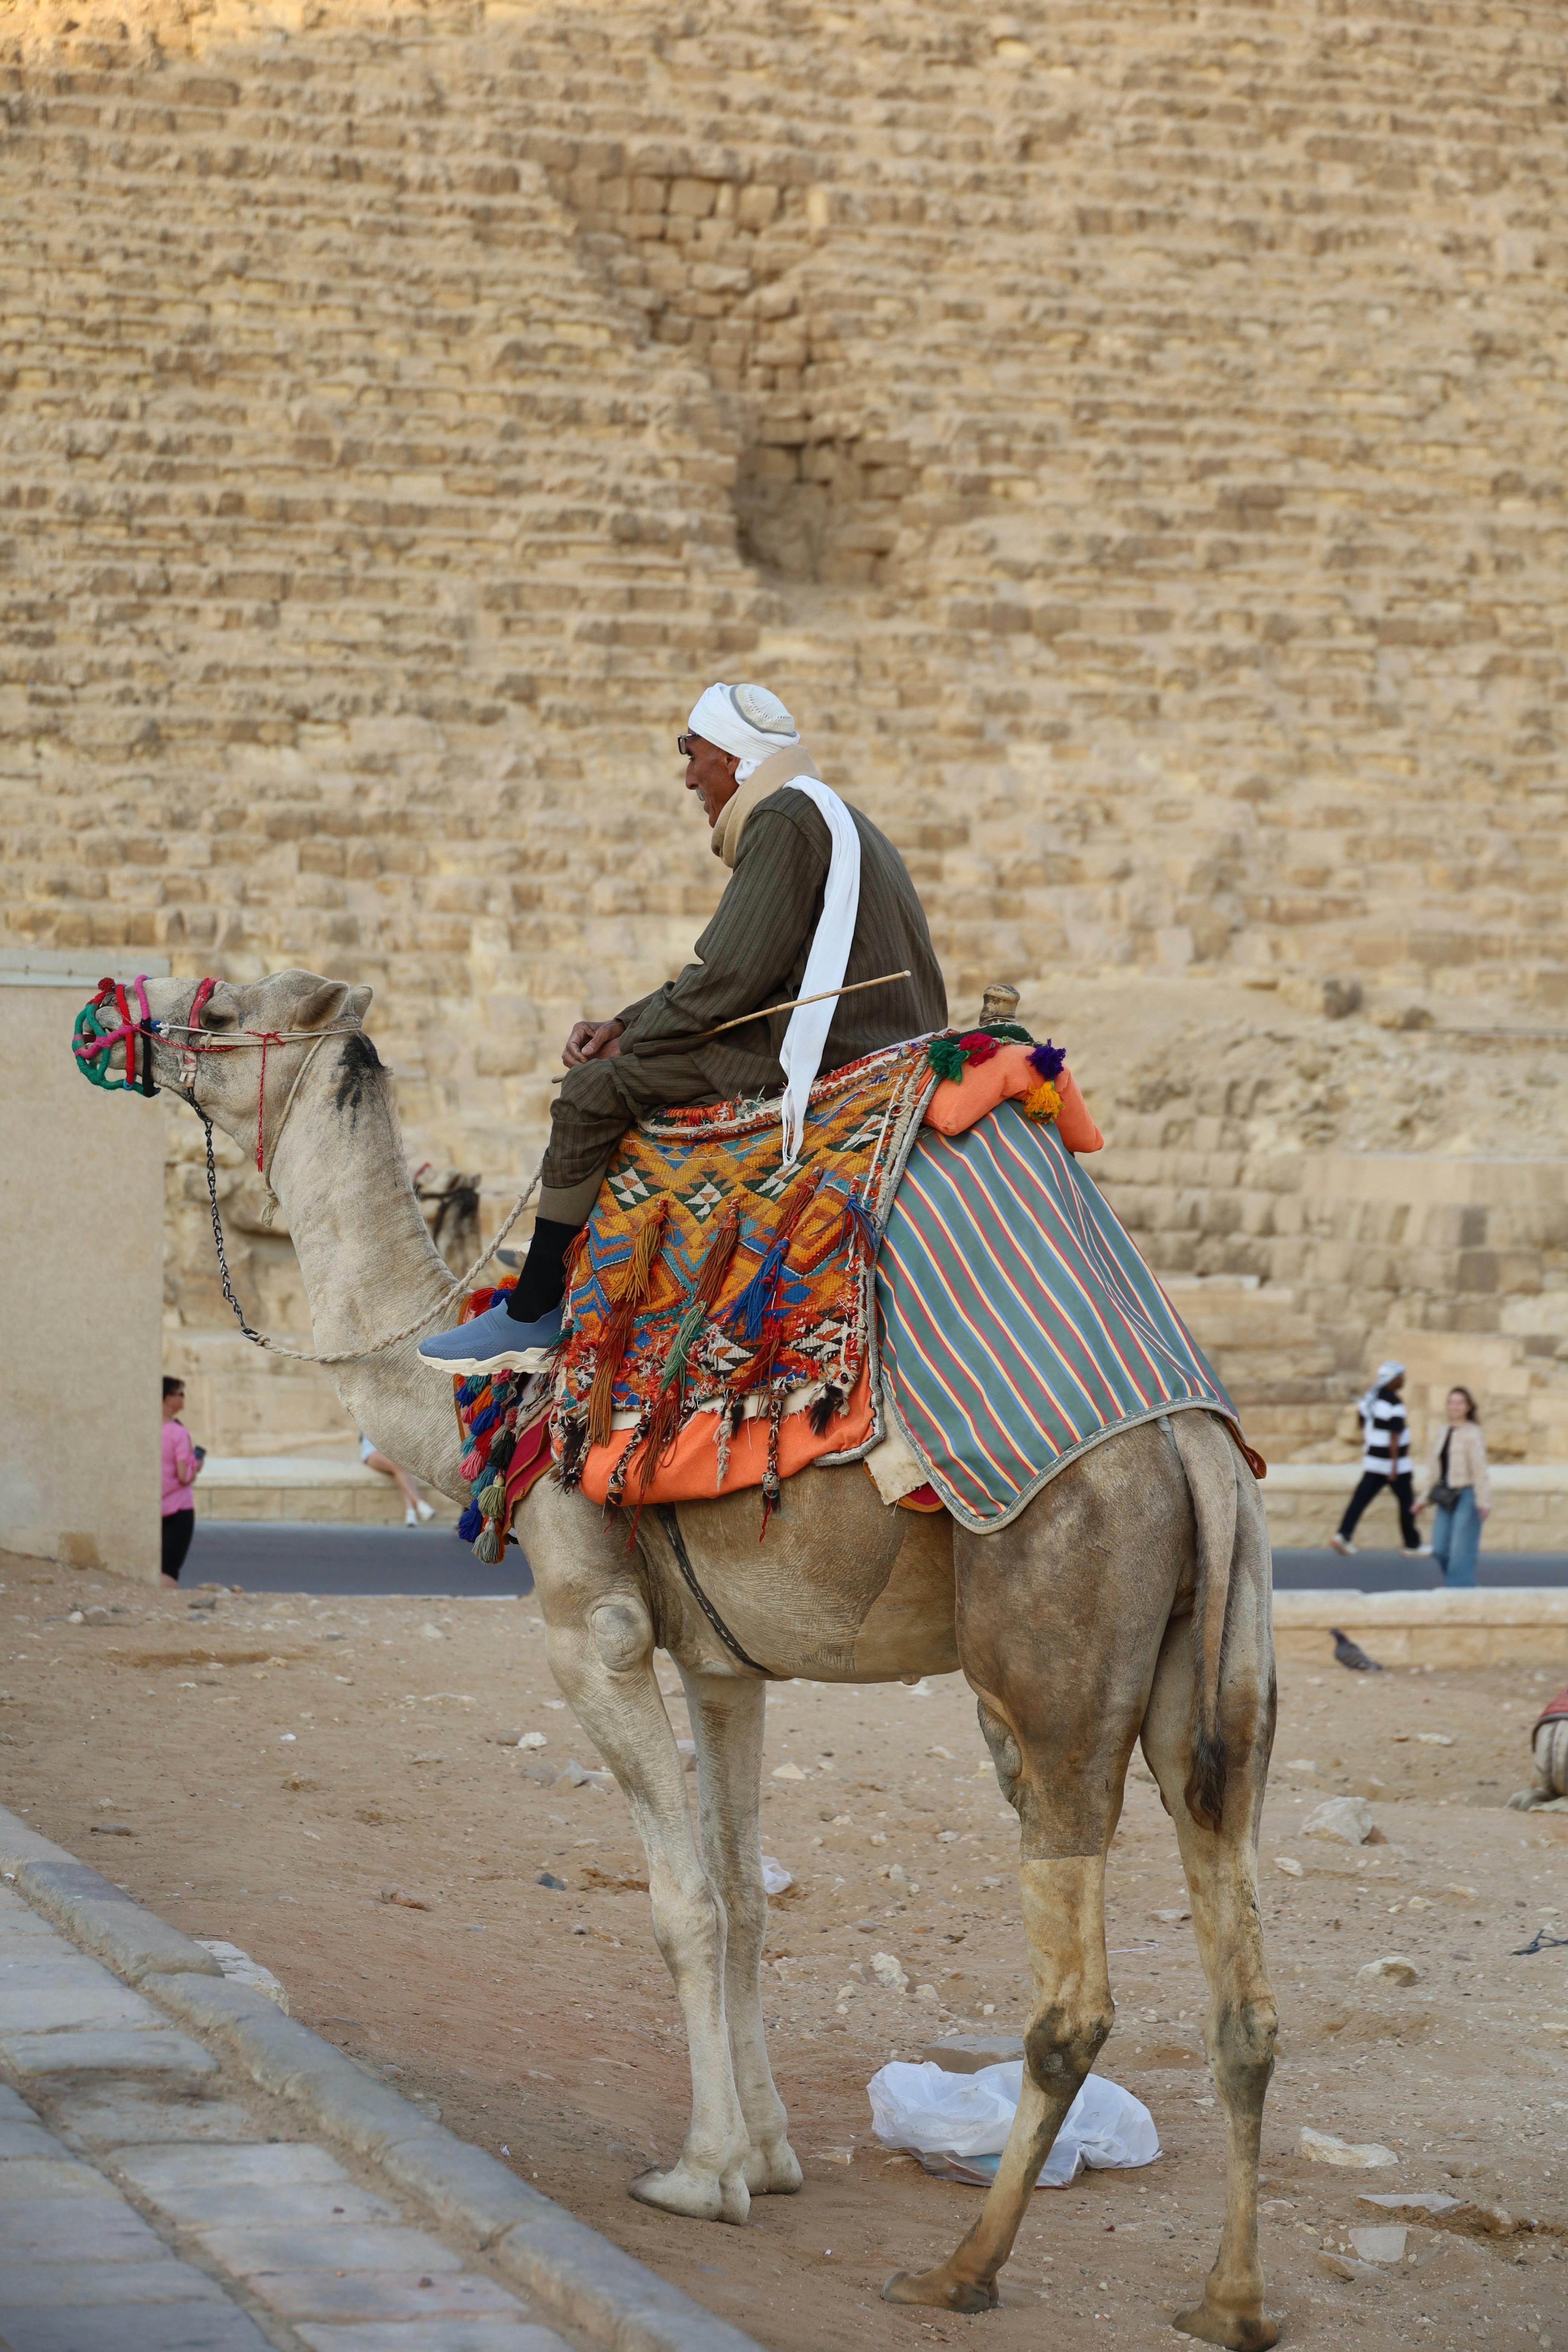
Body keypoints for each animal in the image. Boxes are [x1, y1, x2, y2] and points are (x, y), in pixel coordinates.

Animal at [104, 968, 1281, 2351]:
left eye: (226, 1001)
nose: (122, 1020)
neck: (474, 1398)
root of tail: (1192, 1447)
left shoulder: (590, 1624)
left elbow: (683, 1904)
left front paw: (702, 2175)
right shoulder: (726, 1663)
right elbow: (746, 1902)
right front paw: (768, 2156)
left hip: (1052, 1656)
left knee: (1073, 1991)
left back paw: (960, 2271)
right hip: (1223, 1660)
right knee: (1242, 1985)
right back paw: (1231, 2302)